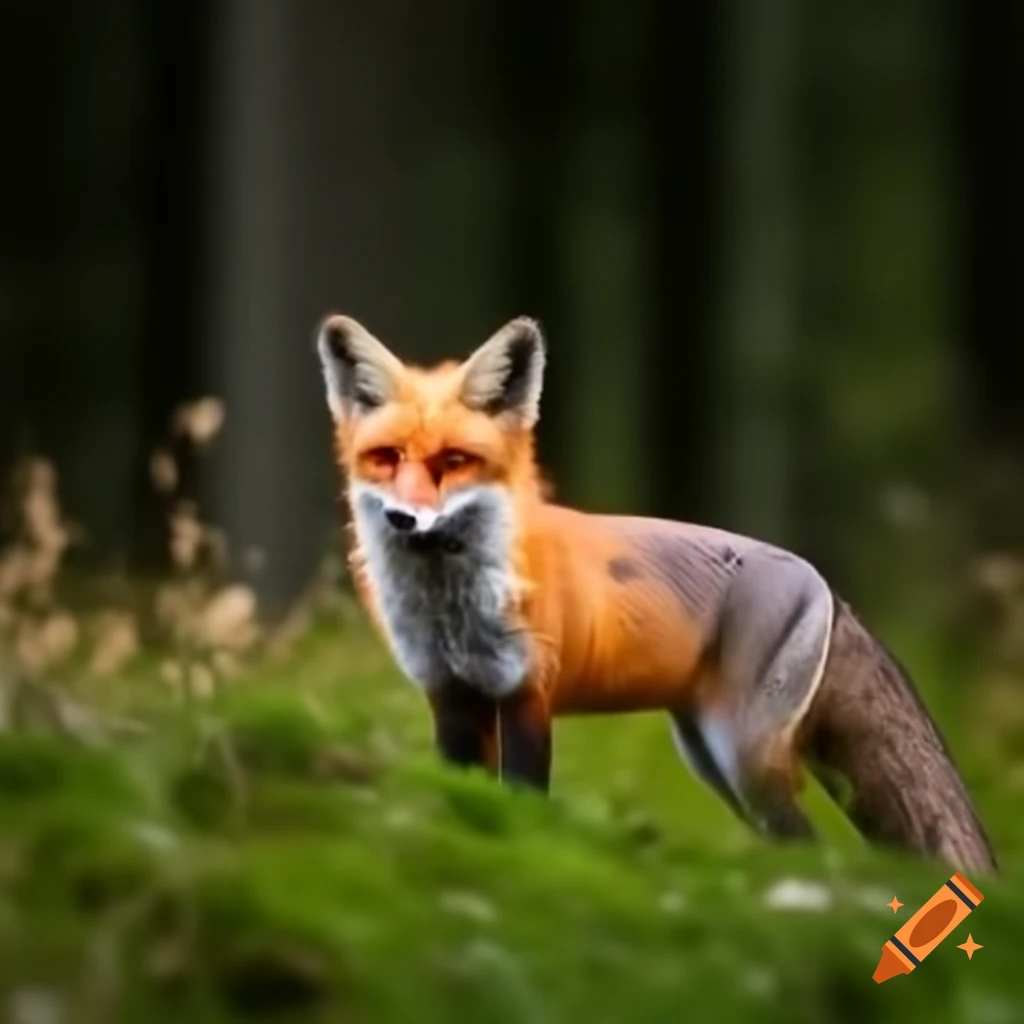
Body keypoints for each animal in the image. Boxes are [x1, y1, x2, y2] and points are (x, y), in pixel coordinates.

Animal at [315, 311, 998, 876]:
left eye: (455, 461)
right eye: (386, 457)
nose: (405, 519)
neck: (447, 608)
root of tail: (828, 586)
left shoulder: (529, 691)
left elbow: (525, 797)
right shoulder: (450, 694)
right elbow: (463, 792)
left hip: (742, 755)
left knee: (808, 845)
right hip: (708, 758)